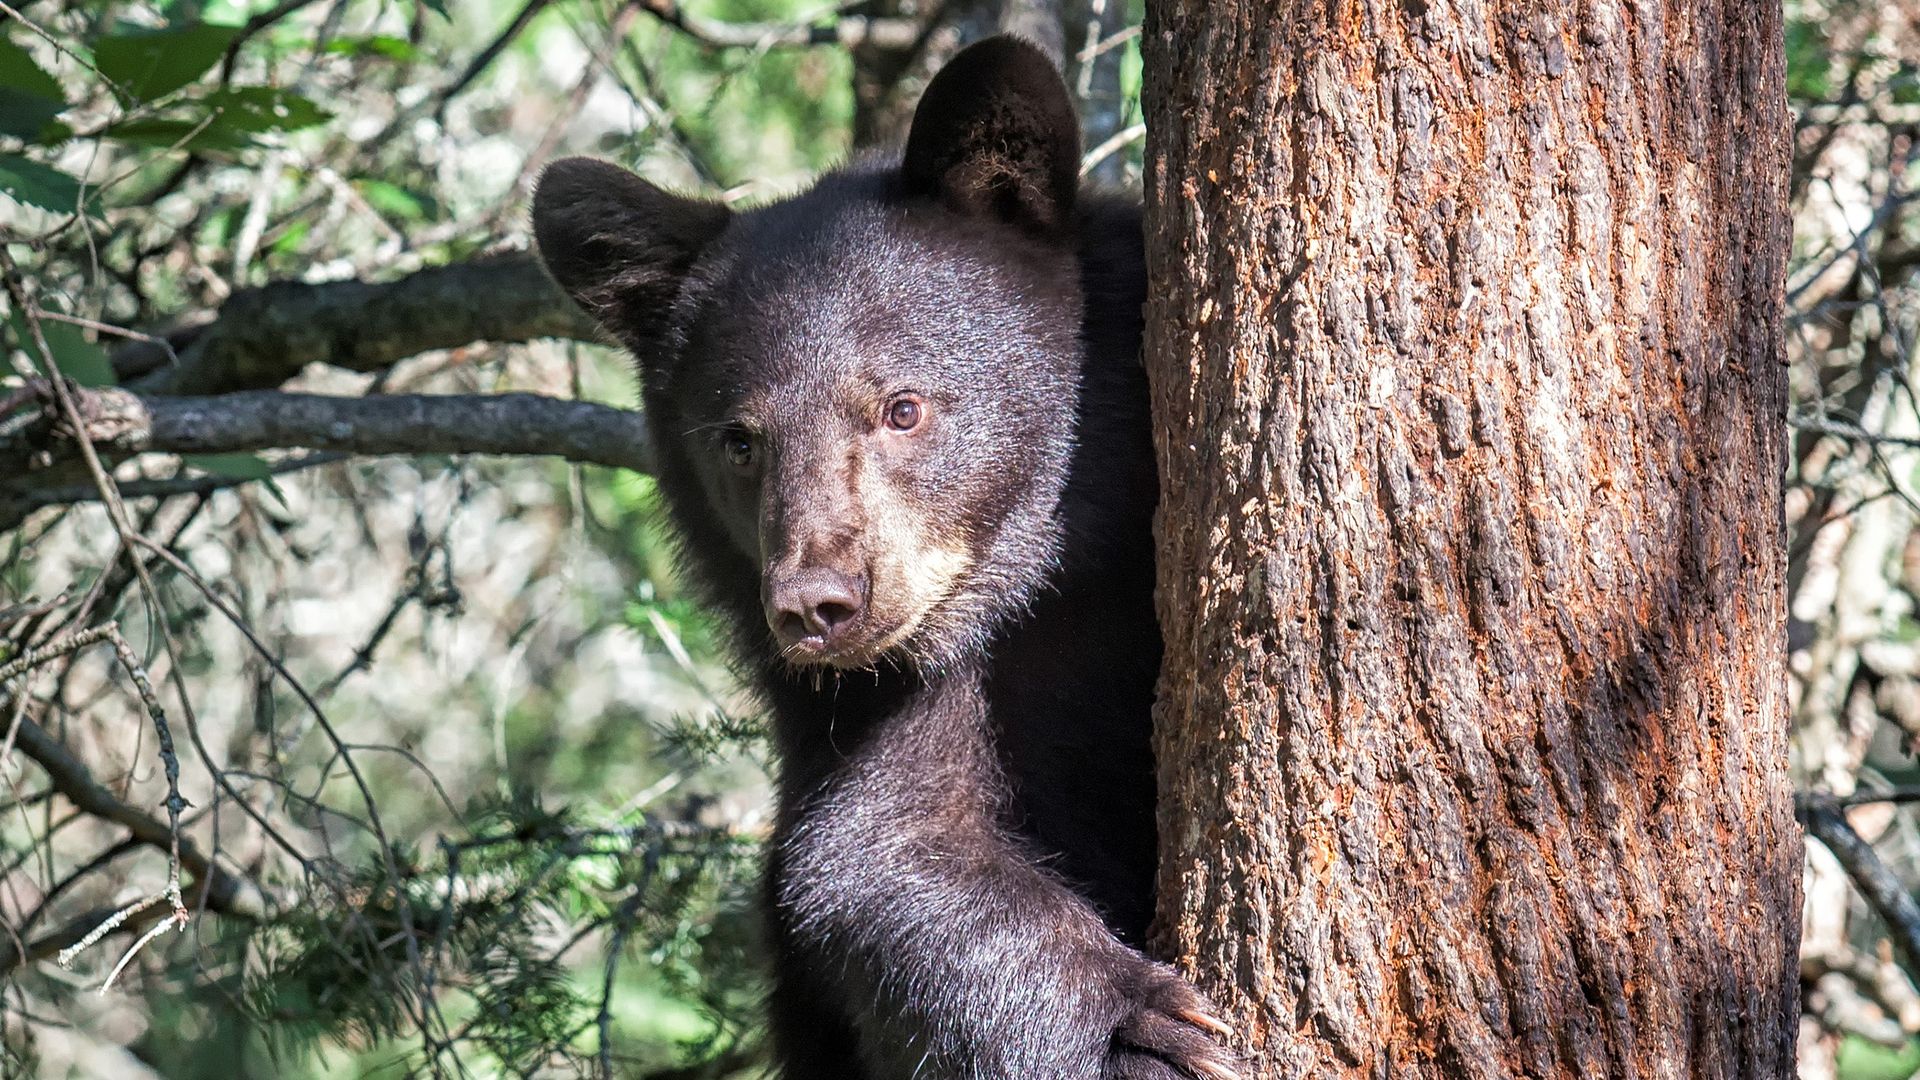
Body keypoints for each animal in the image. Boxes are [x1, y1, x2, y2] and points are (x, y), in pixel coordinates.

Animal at [531, 36, 1235, 1080]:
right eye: (739, 441)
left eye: (902, 407)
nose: (817, 603)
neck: (1049, 591)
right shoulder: (870, 706)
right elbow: (878, 857)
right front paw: (1140, 1031)